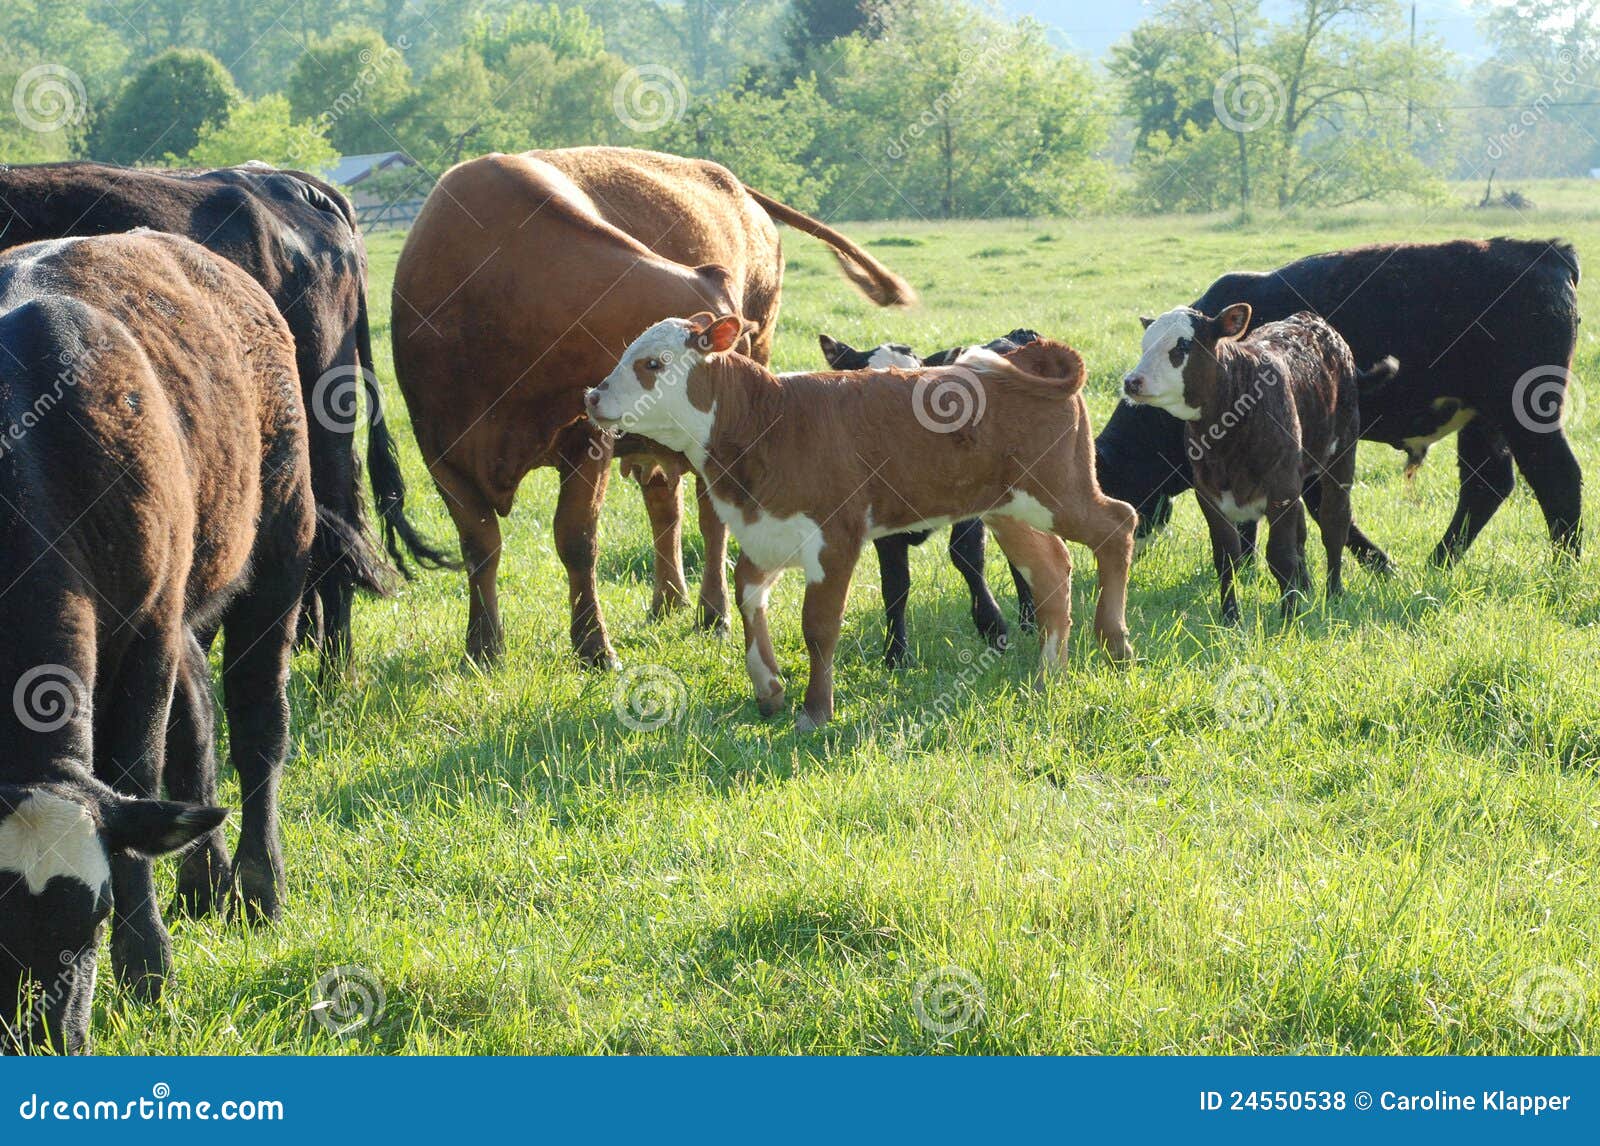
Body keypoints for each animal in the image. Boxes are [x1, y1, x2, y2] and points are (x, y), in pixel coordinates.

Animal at [0, 231, 316, 1053]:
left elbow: (132, 769)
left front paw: (147, 968)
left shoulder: (146, 629)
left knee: (257, 724)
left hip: (279, 545)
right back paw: (205, 881)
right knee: (198, 723)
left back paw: (257, 887)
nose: (41, 1041)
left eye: (97, 914)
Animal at [389, 147, 915, 668]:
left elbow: (577, 541)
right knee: (666, 508)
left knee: (710, 522)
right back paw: (668, 600)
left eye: (737, 341)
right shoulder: (440, 454)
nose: (752, 396)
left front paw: (593, 646)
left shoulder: (588, 442)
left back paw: (712, 611)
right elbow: (481, 547)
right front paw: (483, 646)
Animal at [1096, 238, 1583, 565]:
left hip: (1526, 414)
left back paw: (1563, 565)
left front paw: (1380, 565)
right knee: (1487, 485)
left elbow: (1322, 512)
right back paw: (1439, 561)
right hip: (1485, 420)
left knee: (1557, 477)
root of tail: (1546, 252)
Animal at [1123, 304, 1396, 619]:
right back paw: (1306, 588)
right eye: (1145, 345)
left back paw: (1334, 593)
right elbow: (1227, 556)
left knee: (1334, 521)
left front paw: (1289, 615)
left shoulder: (1281, 488)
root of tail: (1313, 321)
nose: (1131, 381)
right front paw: (1230, 616)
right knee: (1302, 527)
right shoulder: (1207, 493)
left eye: (1183, 345)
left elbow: (1280, 555)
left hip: (1341, 454)